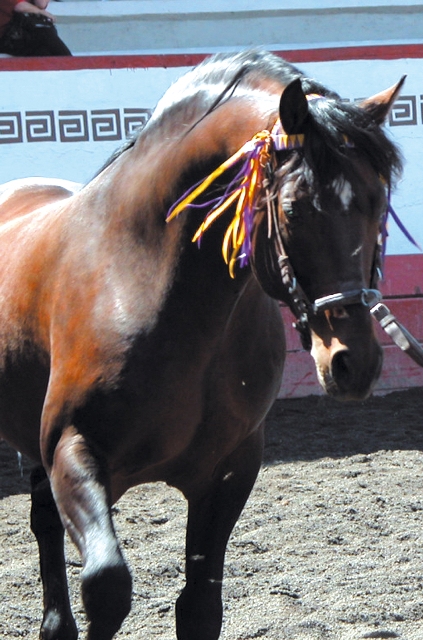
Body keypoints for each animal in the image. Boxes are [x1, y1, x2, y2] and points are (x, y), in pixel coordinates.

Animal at [0, 50, 403, 639]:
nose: (356, 363)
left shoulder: (228, 470)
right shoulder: (71, 451)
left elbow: (199, 608)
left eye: (378, 203)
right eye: (295, 208)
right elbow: (107, 585)